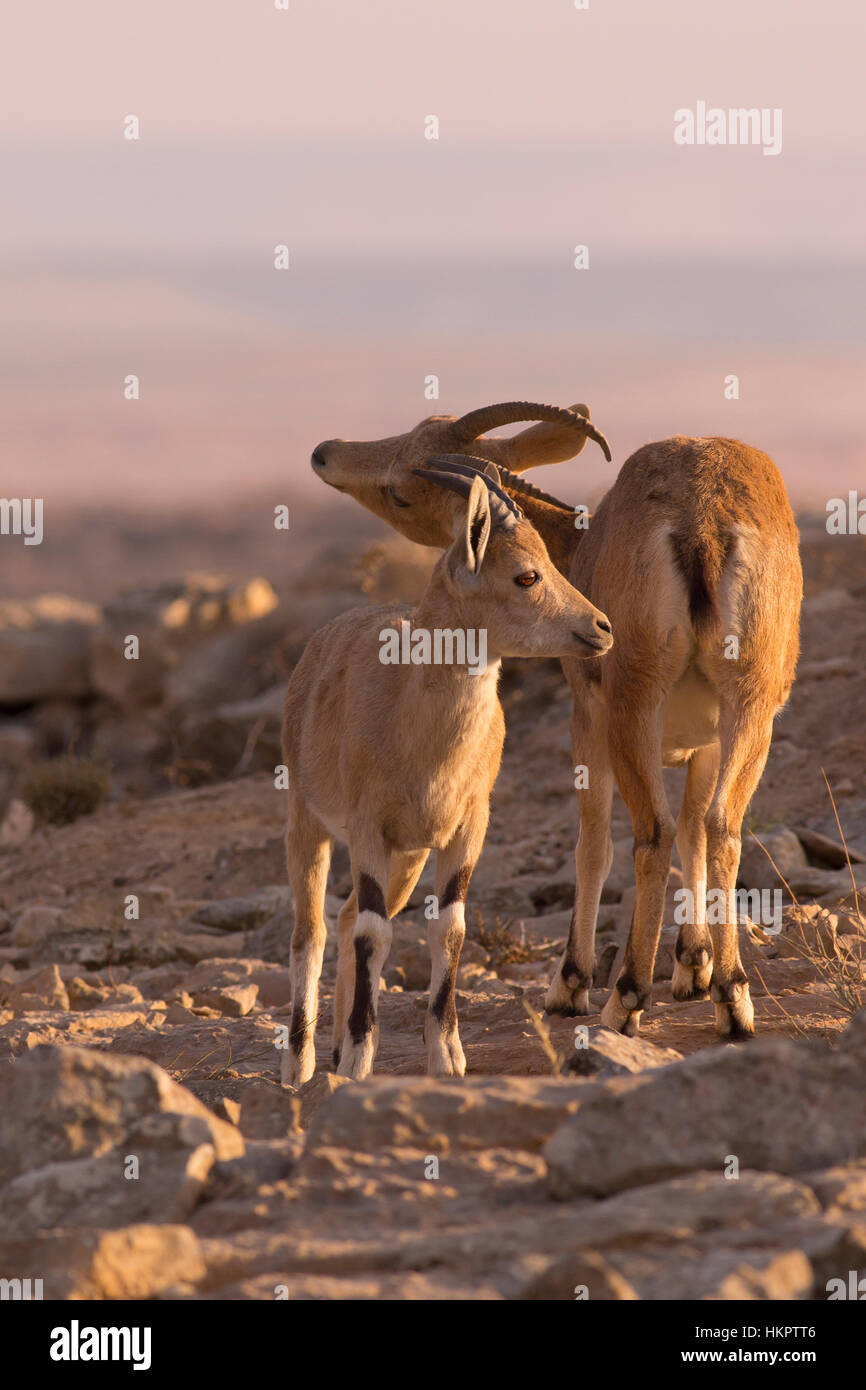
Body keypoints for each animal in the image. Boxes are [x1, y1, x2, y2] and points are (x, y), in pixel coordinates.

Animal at [281, 464, 612, 1084]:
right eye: (527, 575)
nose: (602, 628)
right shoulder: (367, 829)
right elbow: (374, 933)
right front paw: (360, 1057)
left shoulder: (465, 827)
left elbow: (449, 928)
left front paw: (446, 1055)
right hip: (308, 825)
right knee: (310, 934)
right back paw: (301, 1062)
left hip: (408, 858)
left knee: (345, 918)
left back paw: (332, 1048)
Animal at [310, 401, 802, 1040]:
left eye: (400, 492)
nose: (324, 453)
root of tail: (703, 523)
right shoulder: (708, 740)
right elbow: (696, 826)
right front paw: (694, 967)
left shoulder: (586, 717)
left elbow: (593, 844)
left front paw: (569, 985)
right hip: (752, 706)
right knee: (720, 826)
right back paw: (734, 999)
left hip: (632, 707)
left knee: (651, 833)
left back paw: (625, 997)